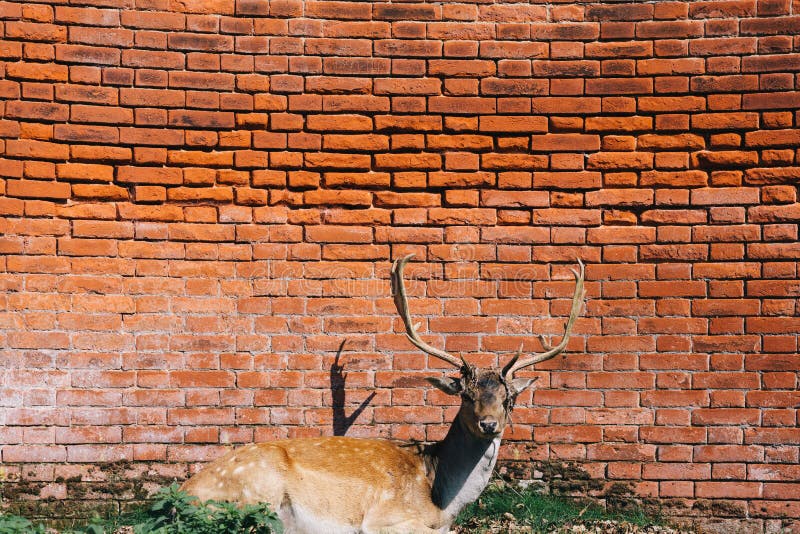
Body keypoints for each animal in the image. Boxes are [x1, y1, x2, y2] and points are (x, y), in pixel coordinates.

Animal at [180, 254, 586, 533]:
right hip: (257, 493)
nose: (489, 424)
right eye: (466, 395)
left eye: (509, 399)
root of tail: (184, 493)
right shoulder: (385, 519)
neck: (440, 503)